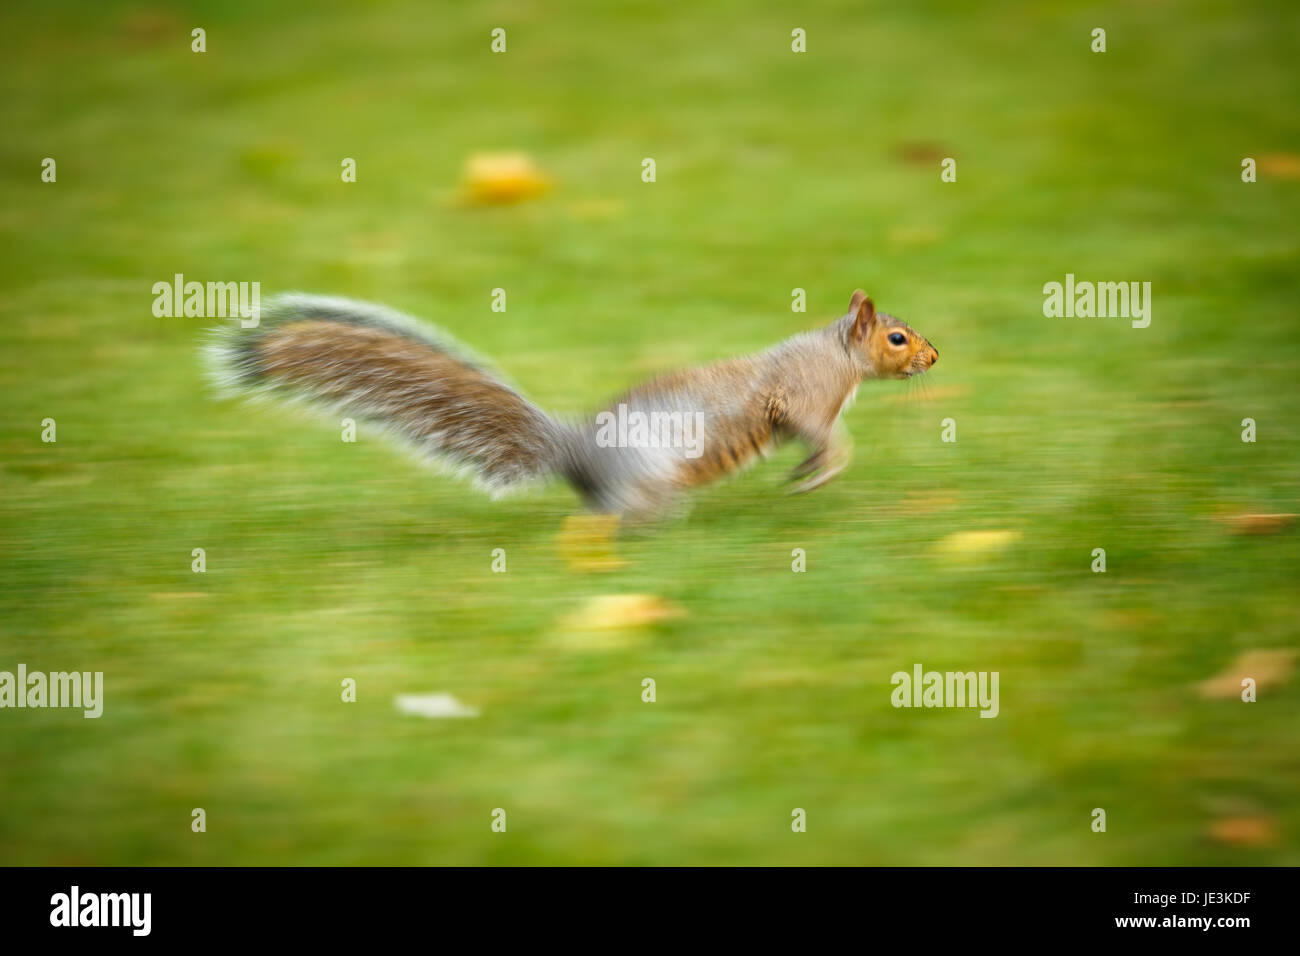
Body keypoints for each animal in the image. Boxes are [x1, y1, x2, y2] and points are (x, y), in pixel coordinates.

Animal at [205, 289, 938, 516]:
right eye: (897, 338)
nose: (934, 357)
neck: (836, 356)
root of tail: (576, 452)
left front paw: (804, 473)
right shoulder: (805, 399)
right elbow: (829, 438)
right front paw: (822, 473)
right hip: (648, 476)